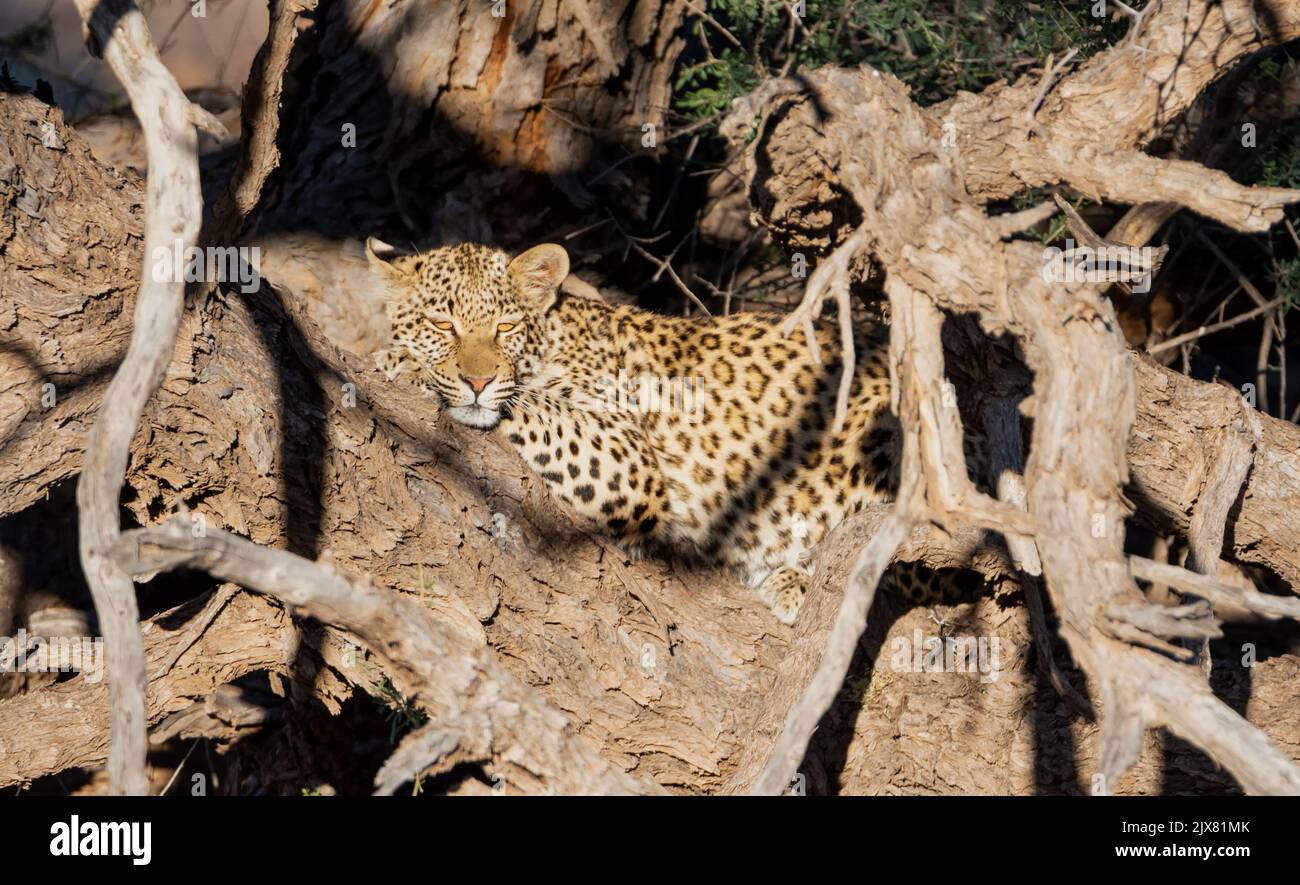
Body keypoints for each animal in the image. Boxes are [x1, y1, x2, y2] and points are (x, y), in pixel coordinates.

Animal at [367, 238, 983, 624]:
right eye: (442, 323)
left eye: (506, 326)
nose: (477, 380)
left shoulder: (629, 459)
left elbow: (535, 404)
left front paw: (404, 367)